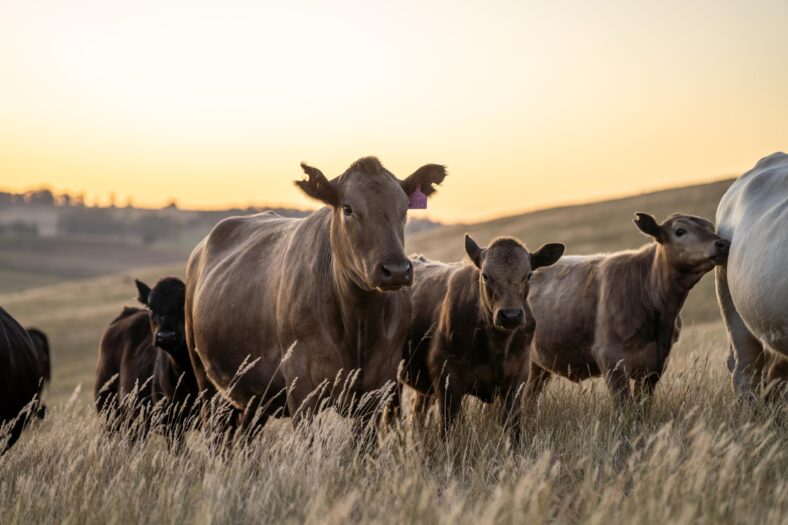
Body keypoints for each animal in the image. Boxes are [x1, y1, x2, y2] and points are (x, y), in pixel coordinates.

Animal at [185, 157, 447, 434]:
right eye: (347, 208)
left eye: (404, 207)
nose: (396, 270)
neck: (359, 321)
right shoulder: (302, 389)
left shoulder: (378, 389)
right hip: (207, 382)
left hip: (254, 397)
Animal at [400, 235, 564, 440]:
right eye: (485, 275)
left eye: (528, 275)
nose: (510, 315)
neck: (497, 347)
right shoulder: (447, 381)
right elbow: (447, 430)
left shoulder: (517, 380)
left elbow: (514, 427)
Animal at [525, 212, 730, 407]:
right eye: (680, 231)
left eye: (712, 228)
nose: (722, 243)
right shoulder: (611, 359)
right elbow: (625, 407)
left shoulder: (654, 366)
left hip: (537, 367)